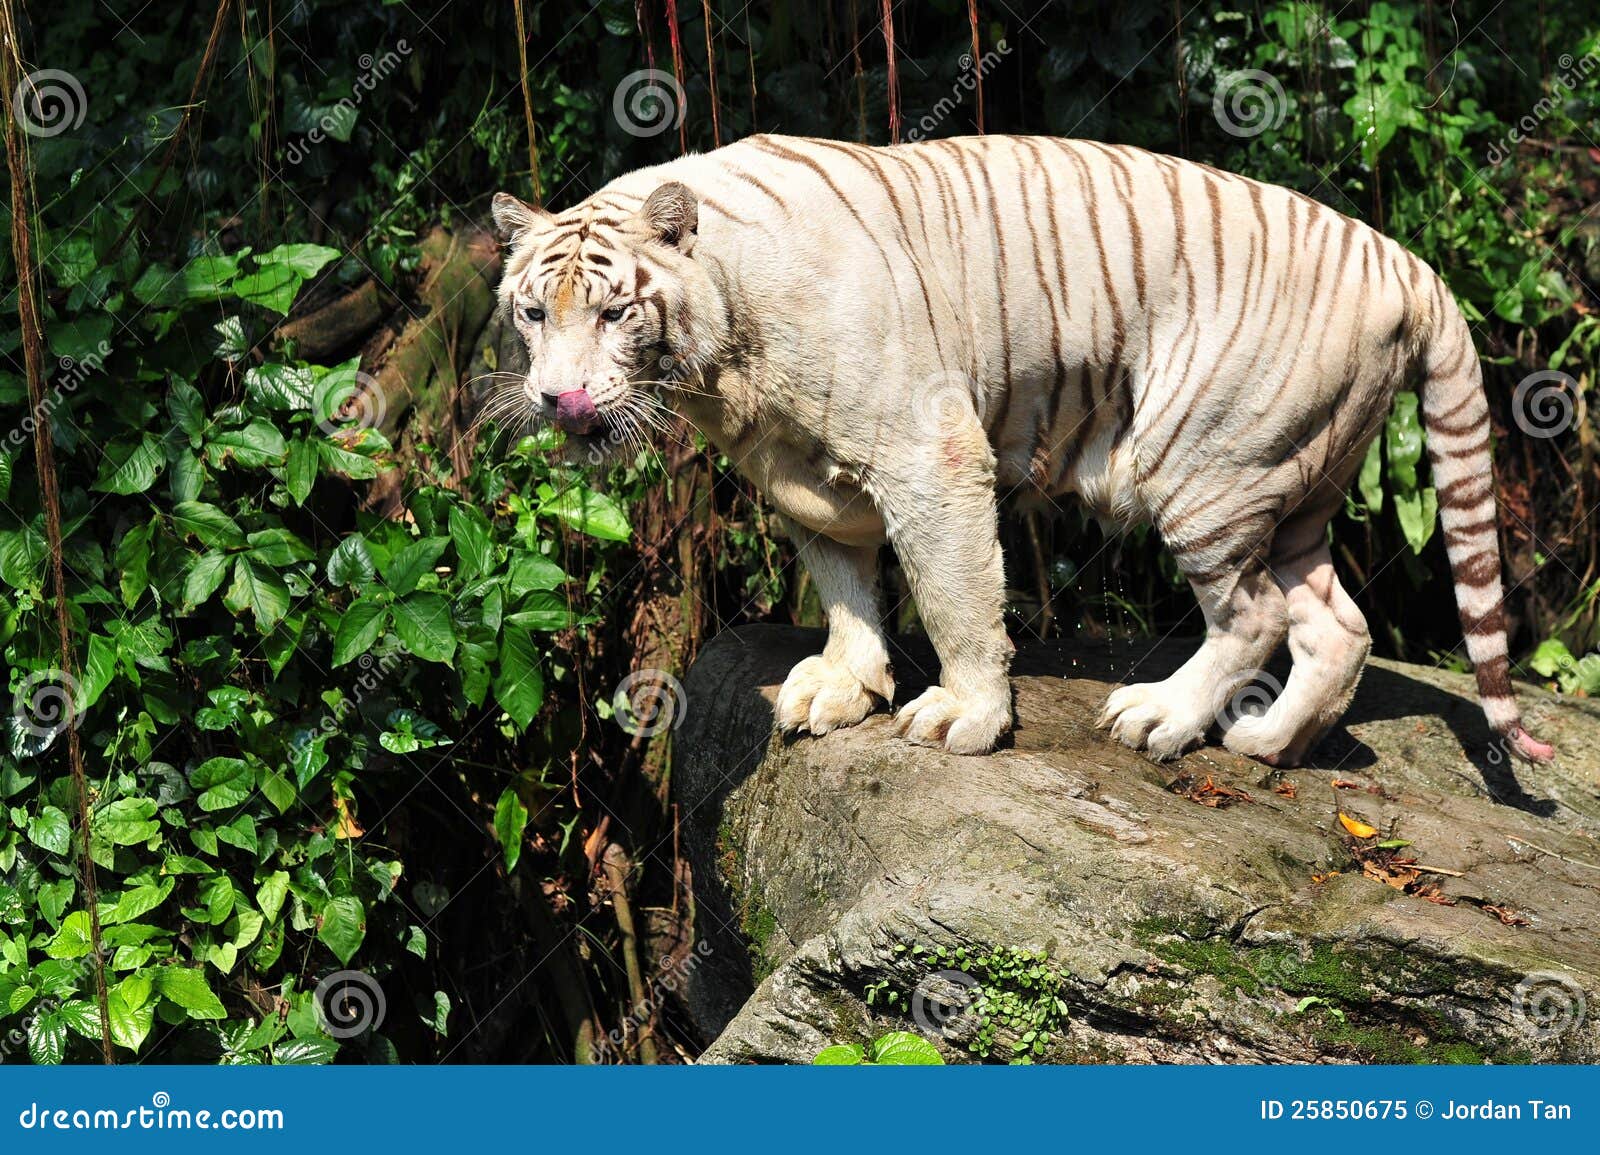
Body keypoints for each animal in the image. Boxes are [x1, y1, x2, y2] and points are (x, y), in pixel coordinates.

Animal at [490, 132, 1555, 767]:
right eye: (534, 312)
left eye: (616, 311)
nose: (559, 398)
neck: (724, 363)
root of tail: (1405, 261)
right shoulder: (797, 473)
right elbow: (844, 585)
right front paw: (842, 685)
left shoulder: (927, 451)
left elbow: (955, 597)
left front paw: (962, 716)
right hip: (1292, 485)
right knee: (1338, 625)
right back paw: (1264, 742)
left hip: (1206, 464)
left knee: (1252, 615)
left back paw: (1158, 718)